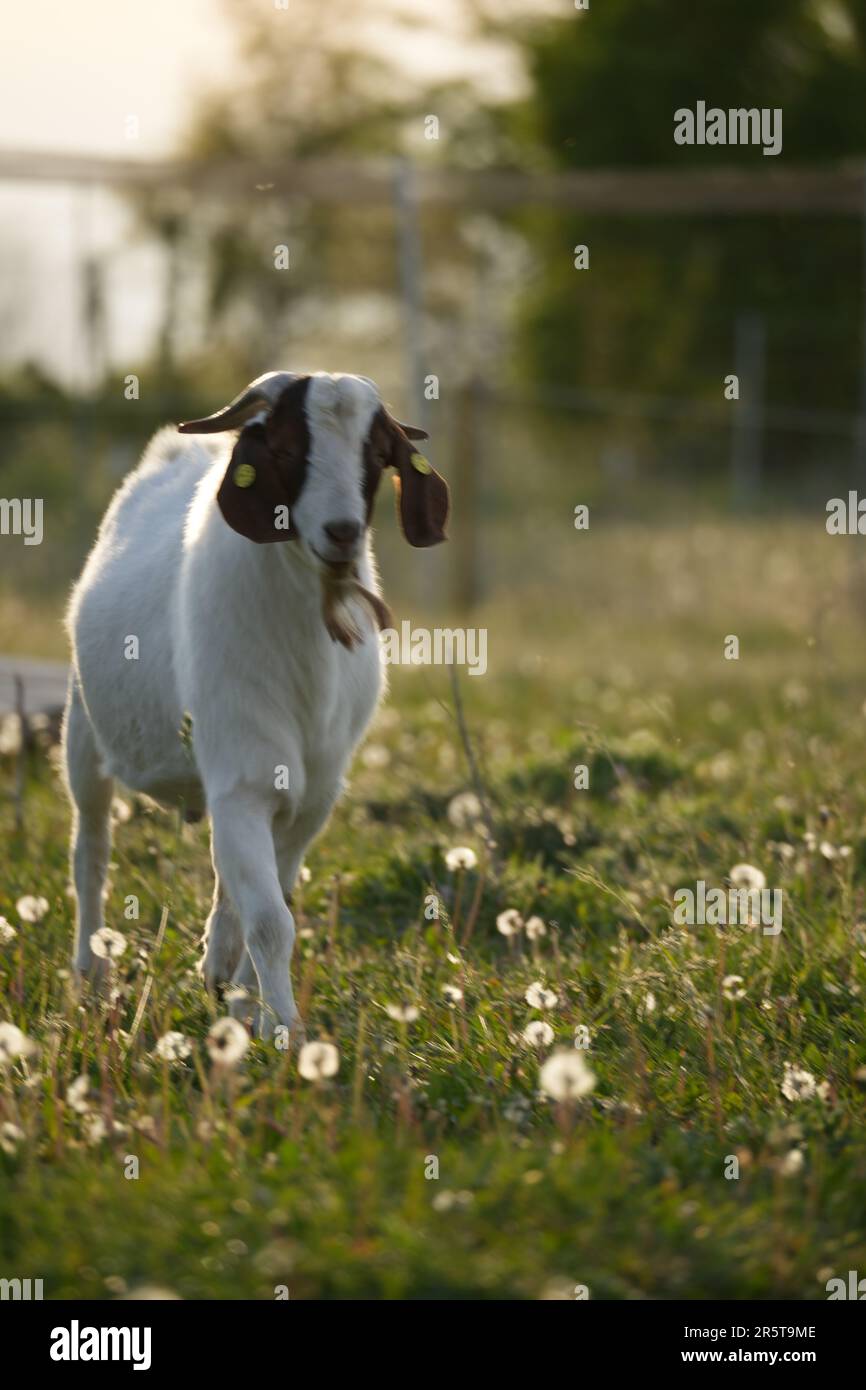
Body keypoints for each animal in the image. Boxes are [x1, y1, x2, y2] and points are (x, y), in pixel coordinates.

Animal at [63, 371, 449, 1038]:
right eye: (289, 449)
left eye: (377, 454)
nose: (343, 532)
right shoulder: (244, 777)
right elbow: (271, 920)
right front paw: (283, 1031)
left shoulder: (311, 796)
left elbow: (272, 898)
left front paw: (247, 1002)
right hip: (82, 736)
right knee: (91, 853)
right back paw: (91, 974)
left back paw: (217, 968)